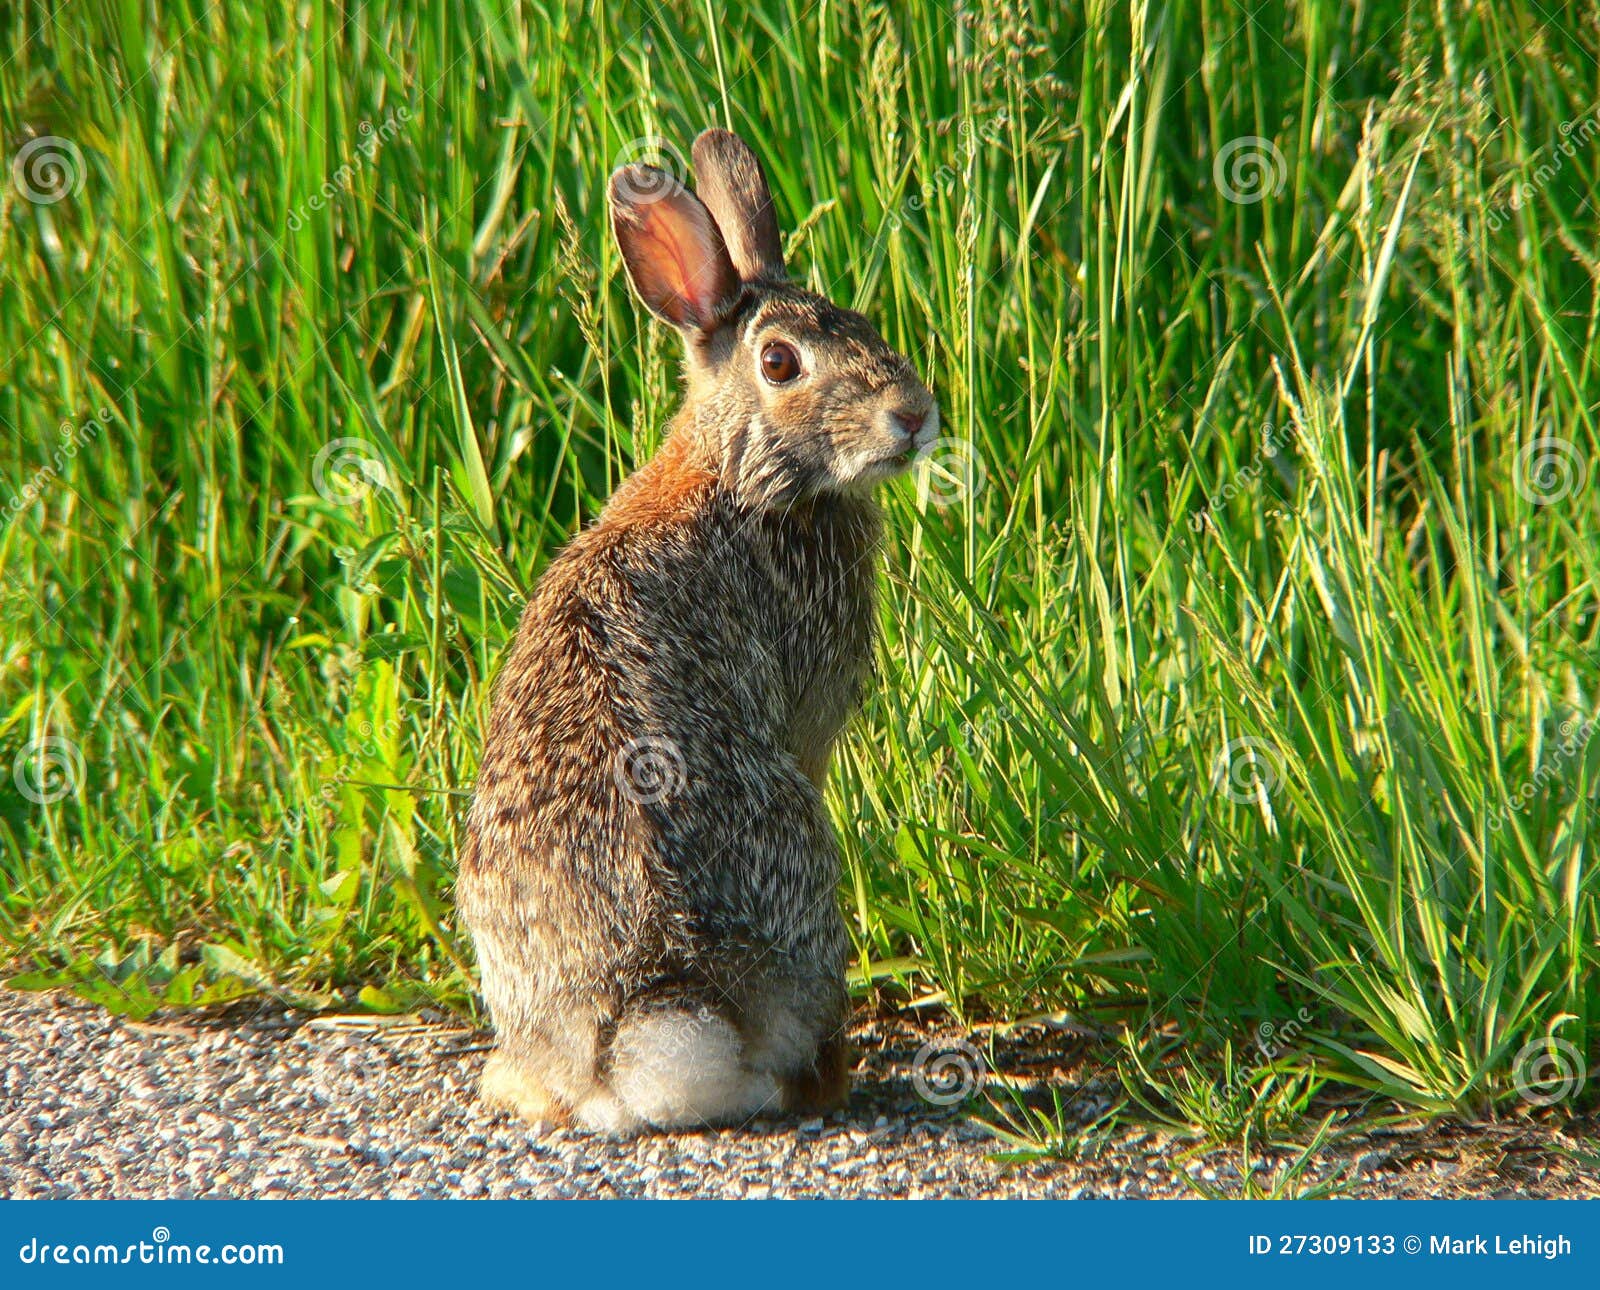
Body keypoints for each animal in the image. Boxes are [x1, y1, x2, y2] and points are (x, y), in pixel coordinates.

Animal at [456, 127, 939, 1135]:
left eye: (864, 321)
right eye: (782, 364)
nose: (914, 416)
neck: (741, 473)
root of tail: (662, 1002)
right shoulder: (810, 710)